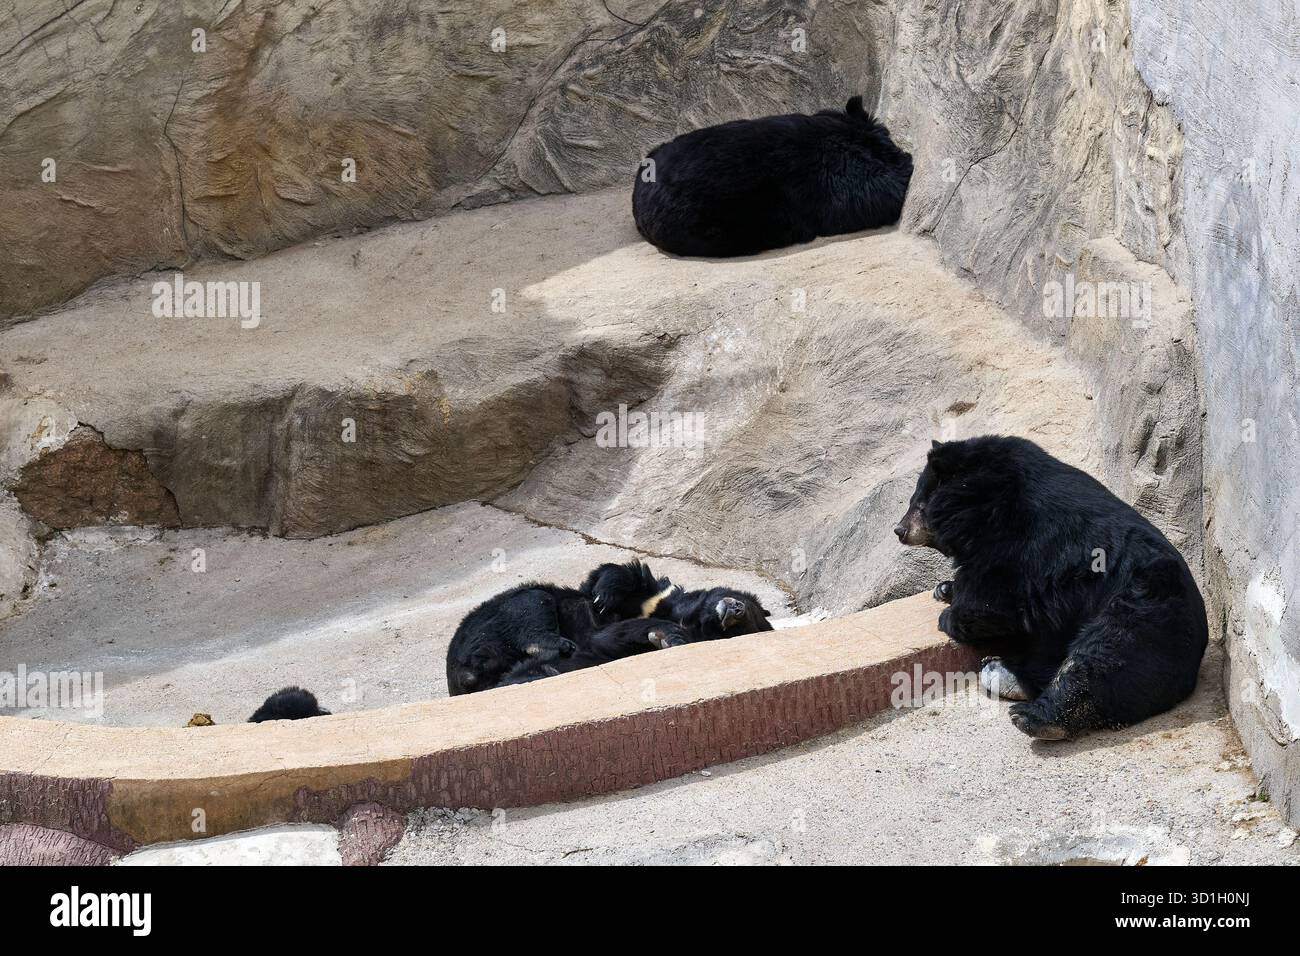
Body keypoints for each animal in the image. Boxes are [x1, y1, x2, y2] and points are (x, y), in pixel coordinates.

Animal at [445, 560, 671, 695]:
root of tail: (462, 674)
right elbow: (609, 576)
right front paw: (604, 596)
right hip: (487, 623)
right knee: (532, 602)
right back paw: (553, 644)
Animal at [894, 436, 1208, 740]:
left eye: (918, 503)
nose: (899, 530)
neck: (984, 498)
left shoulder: (1022, 539)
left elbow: (995, 596)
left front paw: (951, 616)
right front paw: (944, 588)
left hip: (1143, 608)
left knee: (1102, 654)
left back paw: (1034, 715)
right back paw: (1002, 672)